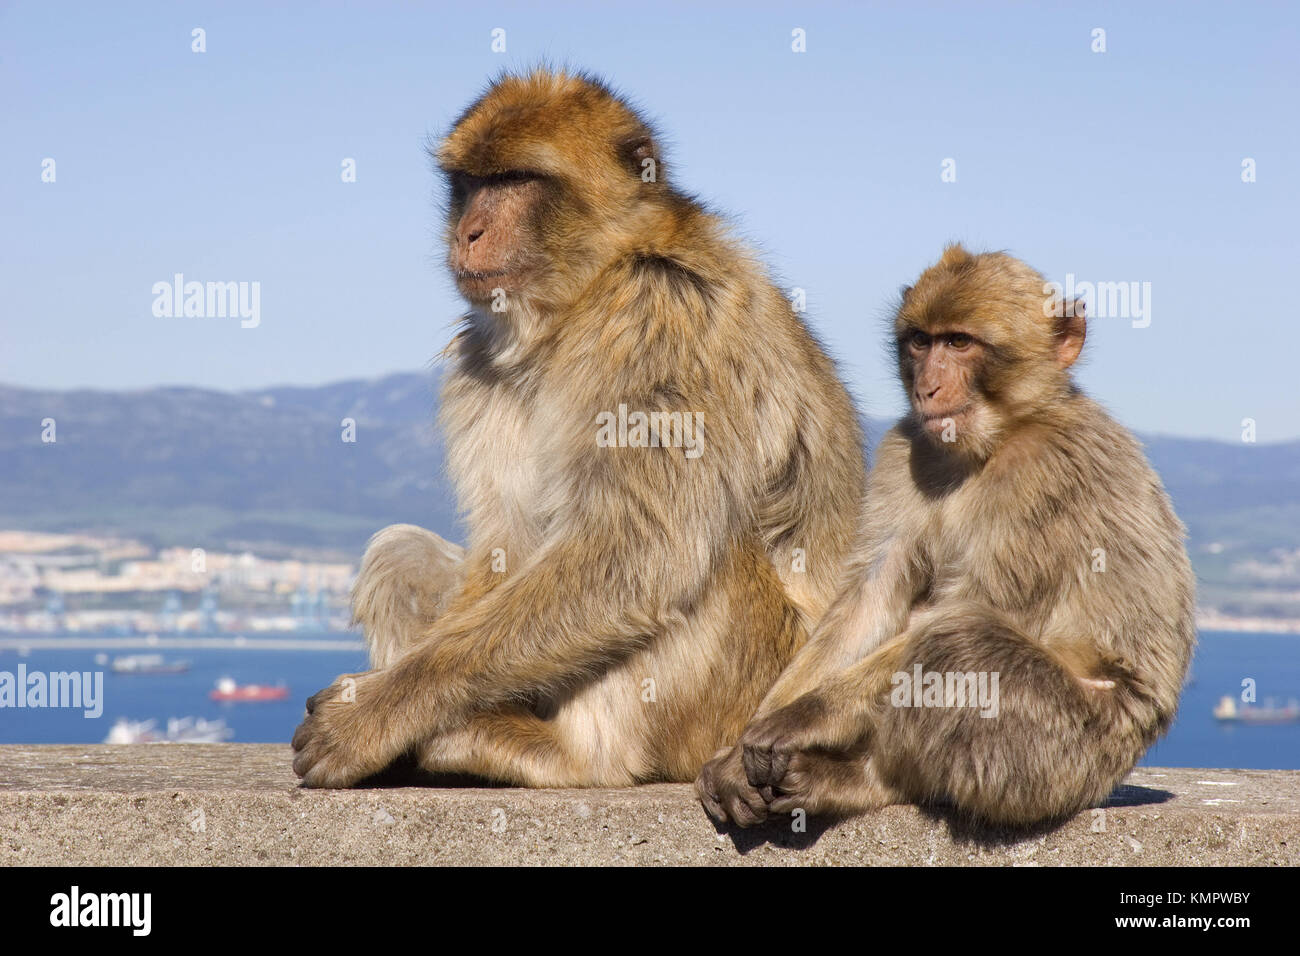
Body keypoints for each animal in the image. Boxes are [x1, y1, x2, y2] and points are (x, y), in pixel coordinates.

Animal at [291, 68, 867, 789]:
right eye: (470, 183)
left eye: (517, 180)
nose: (469, 231)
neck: (583, 295)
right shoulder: (484, 359)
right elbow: (506, 541)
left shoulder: (656, 314)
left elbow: (637, 553)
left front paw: (372, 714)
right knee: (399, 552)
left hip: (733, 708)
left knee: (683, 554)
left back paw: (568, 755)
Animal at [697, 244, 1196, 828]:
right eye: (921, 340)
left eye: (960, 342)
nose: (927, 387)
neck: (994, 441)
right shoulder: (906, 446)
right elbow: (870, 598)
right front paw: (739, 752)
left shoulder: (1042, 474)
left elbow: (963, 612)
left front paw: (804, 717)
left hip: (1070, 752)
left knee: (957, 645)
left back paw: (864, 781)